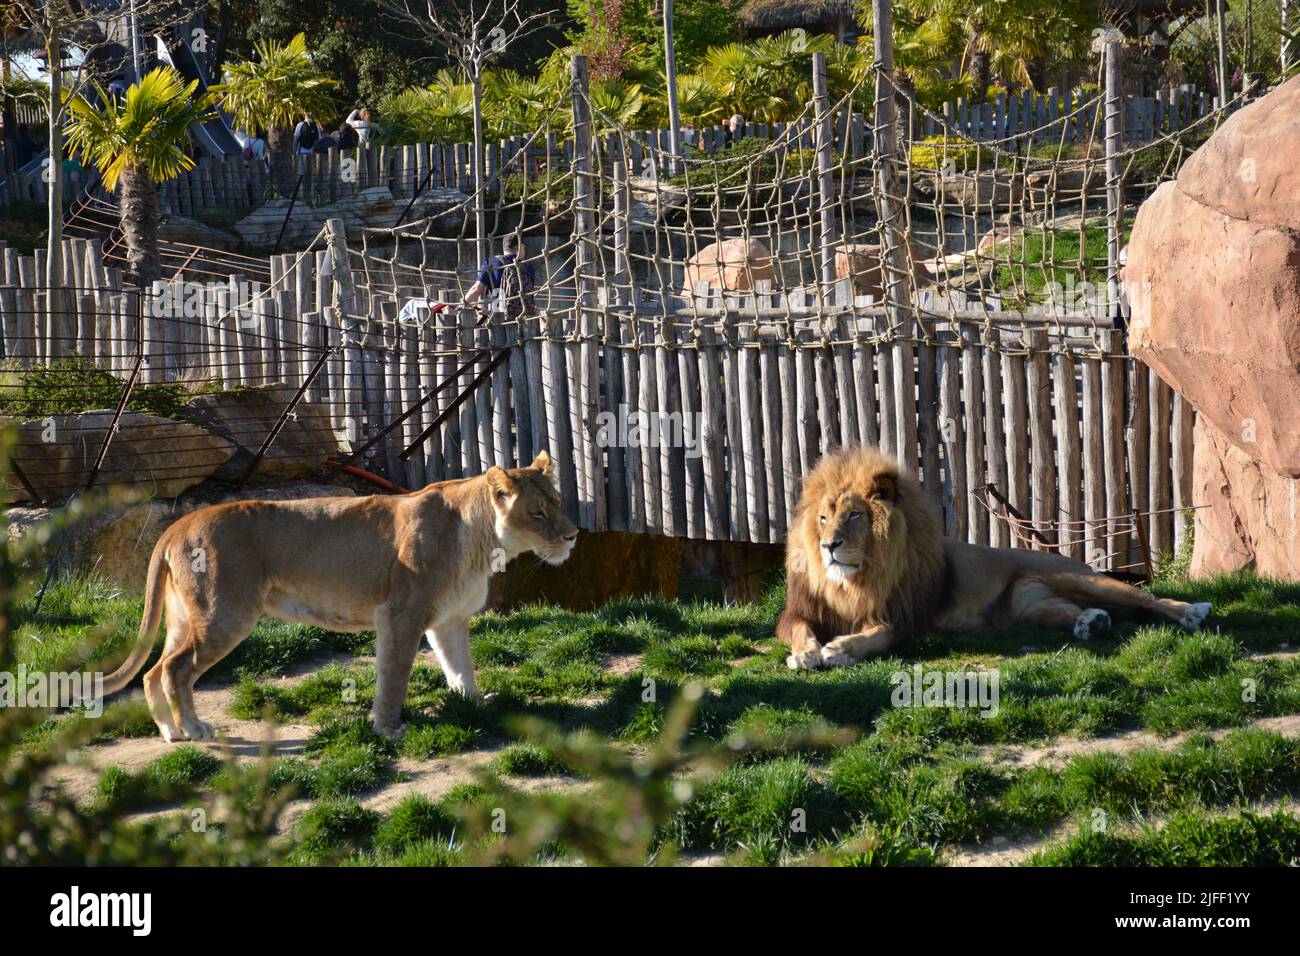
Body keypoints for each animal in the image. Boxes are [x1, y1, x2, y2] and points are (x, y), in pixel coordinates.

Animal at [102, 451, 577, 741]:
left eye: (558, 501)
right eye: (538, 513)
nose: (573, 535)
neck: (483, 539)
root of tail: (177, 525)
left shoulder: (448, 618)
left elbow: (461, 668)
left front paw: (475, 705)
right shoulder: (400, 614)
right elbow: (394, 677)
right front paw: (387, 729)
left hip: (186, 618)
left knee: (152, 671)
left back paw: (171, 732)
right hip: (224, 614)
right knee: (176, 669)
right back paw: (195, 730)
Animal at [778, 446, 1211, 669]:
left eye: (854, 515)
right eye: (823, 518)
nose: (829, 546)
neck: (856, 580)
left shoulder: (907, 617)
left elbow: (877, 634)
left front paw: (839, 650)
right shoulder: (799, 611)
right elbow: (800, 630)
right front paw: (806, 653)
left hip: (1078, 577)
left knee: (1143, 596)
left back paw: (1191, 612)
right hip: (1030, 608)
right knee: (1071, 611)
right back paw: (1093, 623)